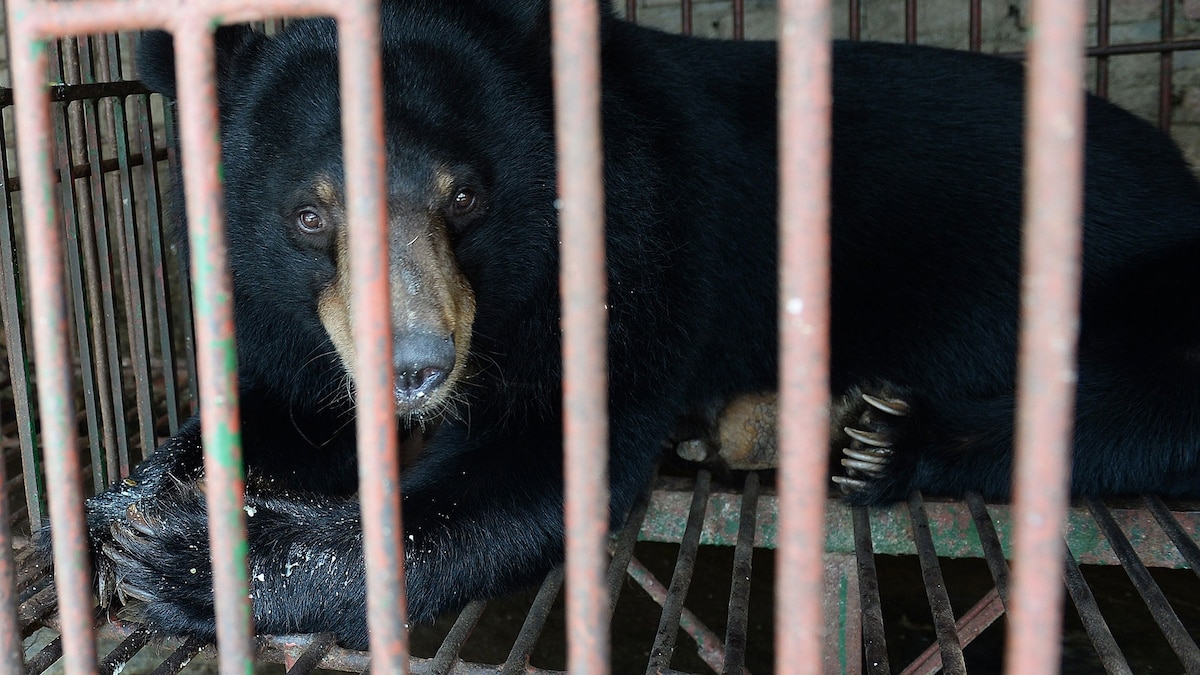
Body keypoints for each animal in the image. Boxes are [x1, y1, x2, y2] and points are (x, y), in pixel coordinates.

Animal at [74, 0, 1200, 650]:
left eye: (467, 196)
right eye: (310, 216)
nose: (416, 369)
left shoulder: (636, 241)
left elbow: (539, 467)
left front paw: (191, 560)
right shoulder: (292, 312)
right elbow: (285, 403)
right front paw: (130, 501)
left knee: (1142, 399)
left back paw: (879, 438)